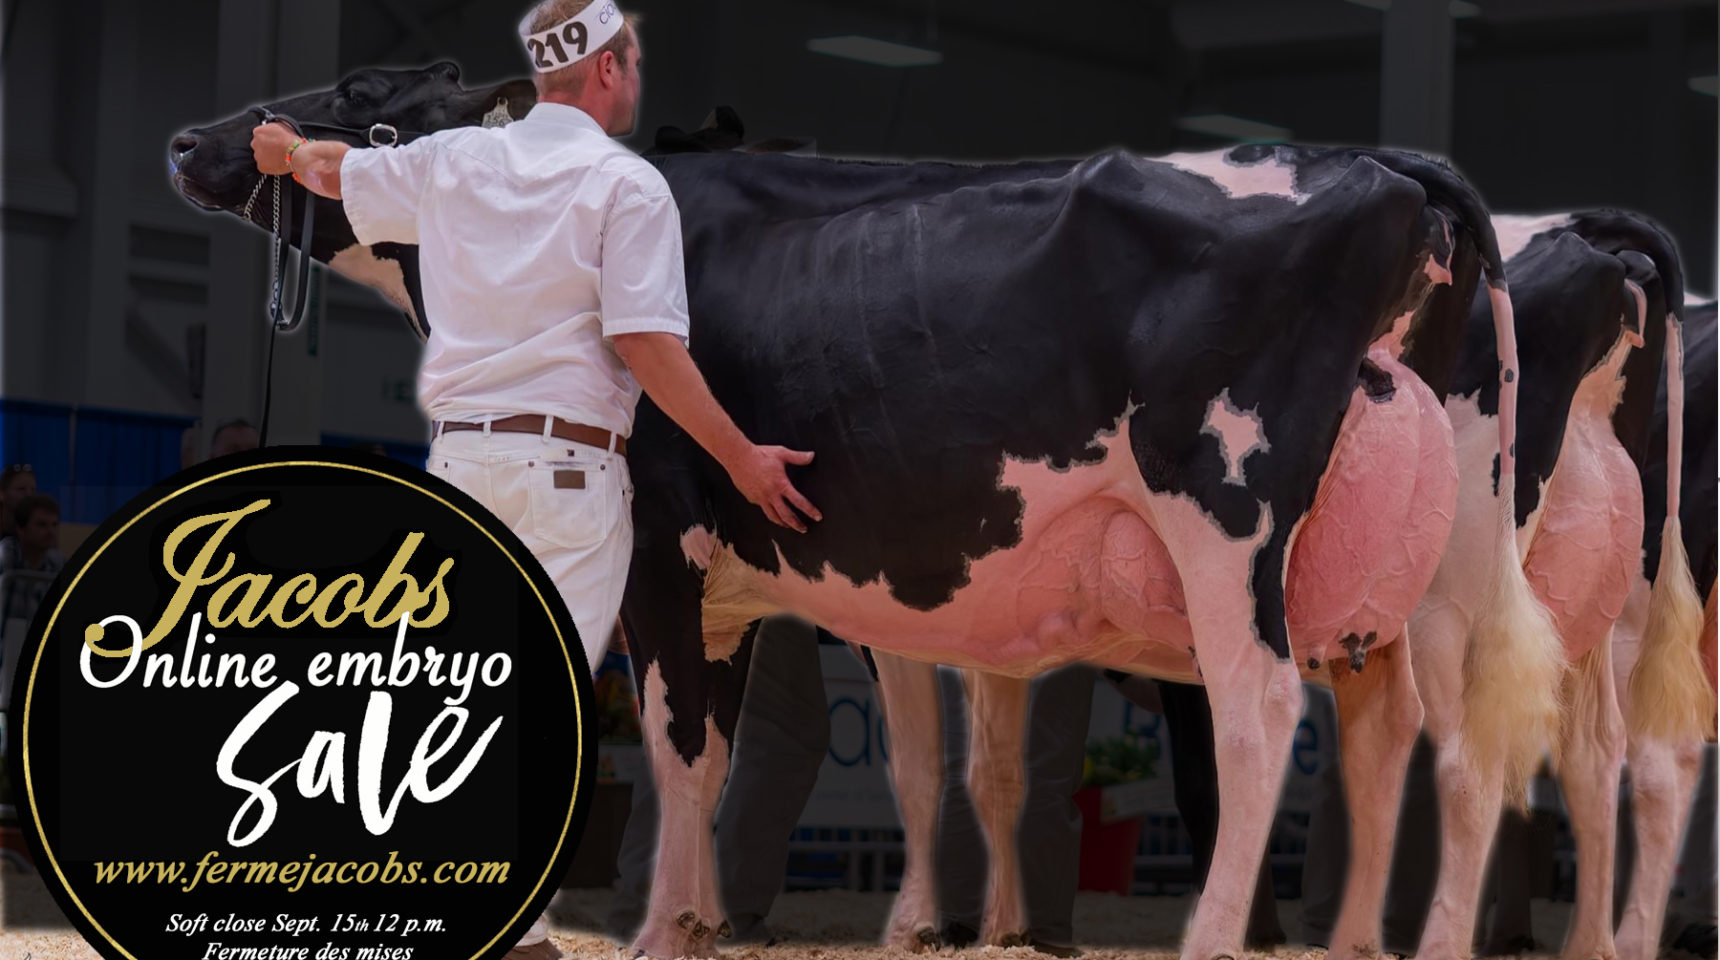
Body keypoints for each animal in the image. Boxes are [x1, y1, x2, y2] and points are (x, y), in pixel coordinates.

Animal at [168, 65, 1556, 960]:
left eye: (368, 103)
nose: (192, 144)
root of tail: (1382, 161)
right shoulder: (831, 588)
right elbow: (910, 757)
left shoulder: (665, 548)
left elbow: (684, 748)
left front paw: (665, 928)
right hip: (1443, 554)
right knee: (1429, 740)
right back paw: (1388, 944)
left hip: (1226, 509)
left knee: (1263, 715)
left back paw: (1217, 937)